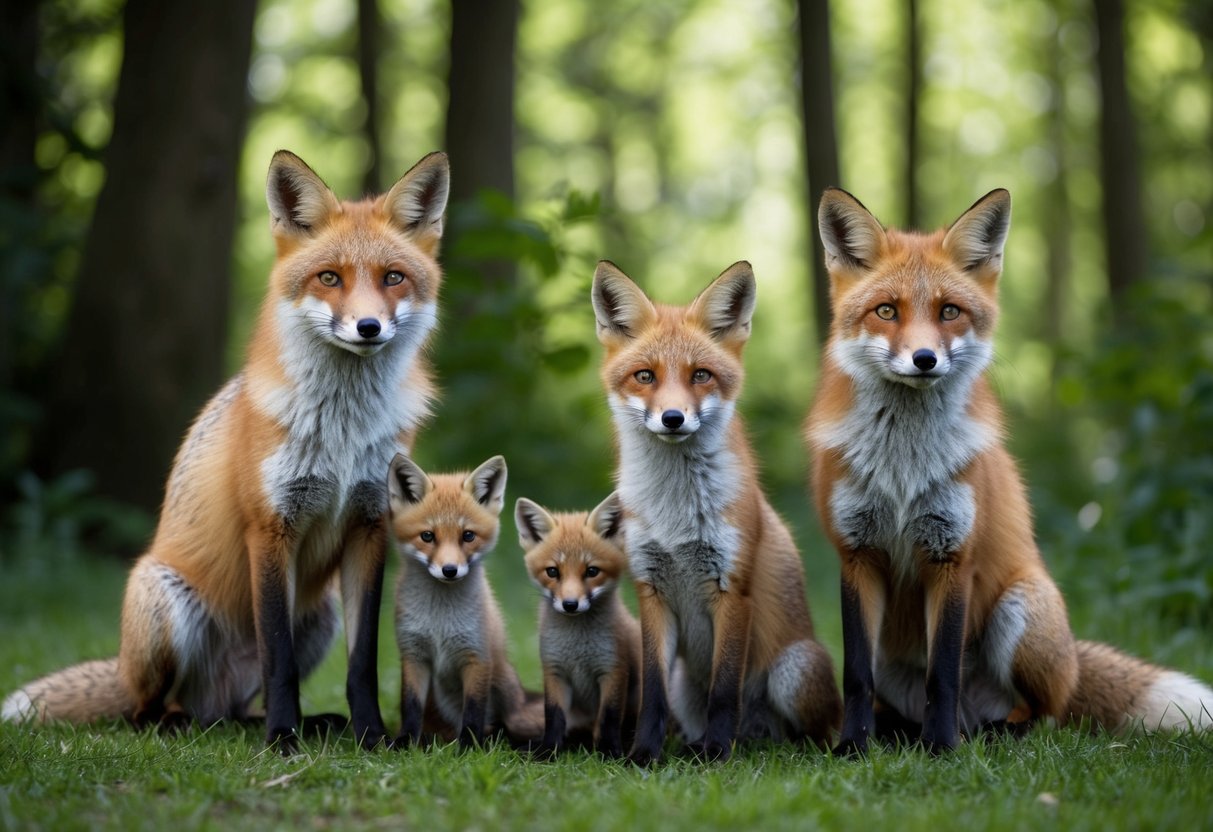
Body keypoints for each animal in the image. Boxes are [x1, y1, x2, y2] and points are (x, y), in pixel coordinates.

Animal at [2, 150, 451, 752]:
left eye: (393, 278)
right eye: (330, 277)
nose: (368, 326)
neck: (342, 433)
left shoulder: (369, 524)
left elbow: (362, 664)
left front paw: (371, 736)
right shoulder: (269, 527)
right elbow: (279, 658)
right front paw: (283, 739)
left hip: (320, 616)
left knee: (232, 709)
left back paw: (293, 722)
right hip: (165, 605)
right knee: (146, 709)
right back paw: (185, 724)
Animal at [388, 453, 542, 748]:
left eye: (467, 535)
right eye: (427, 536)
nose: (450, 570)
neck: (439, 620)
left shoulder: (476, 656)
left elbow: (474, 709)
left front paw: (469, 747)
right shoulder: (413, 655)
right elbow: (410, 705)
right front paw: (406, 741)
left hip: (502, 683)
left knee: (504, 722)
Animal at [516, 491, 641, 757]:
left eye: (592, 571)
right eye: (552, 572)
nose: (570, 604)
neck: (577, 649)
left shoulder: (613, 670)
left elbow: (609, 717)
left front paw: (609, 753)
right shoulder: (554, 671)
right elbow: (553, 717)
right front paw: (548, 752)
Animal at [591, 261, 843, 764]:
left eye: (700, 375)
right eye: (645, 376)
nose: (673, 418)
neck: (674, 514)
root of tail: (760, 734)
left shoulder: (733, 588)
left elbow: (725, 690)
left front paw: (716, 752)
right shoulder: (651, 589)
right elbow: (651, 695)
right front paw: (644, 754)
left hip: (795, 669)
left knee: (813, 737)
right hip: (684, 682)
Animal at [806, 186, 1213, 755]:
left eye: (949, 311)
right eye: (886, 311)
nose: (925, 359)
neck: (903, 467)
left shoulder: (953, 555)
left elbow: (943, 674)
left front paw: (941, 749)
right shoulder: (857, 554)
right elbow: (855, 675)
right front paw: (853, 747)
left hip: (1021, 609)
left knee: (1048, 715)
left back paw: (989, 733)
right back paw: (901, 732)